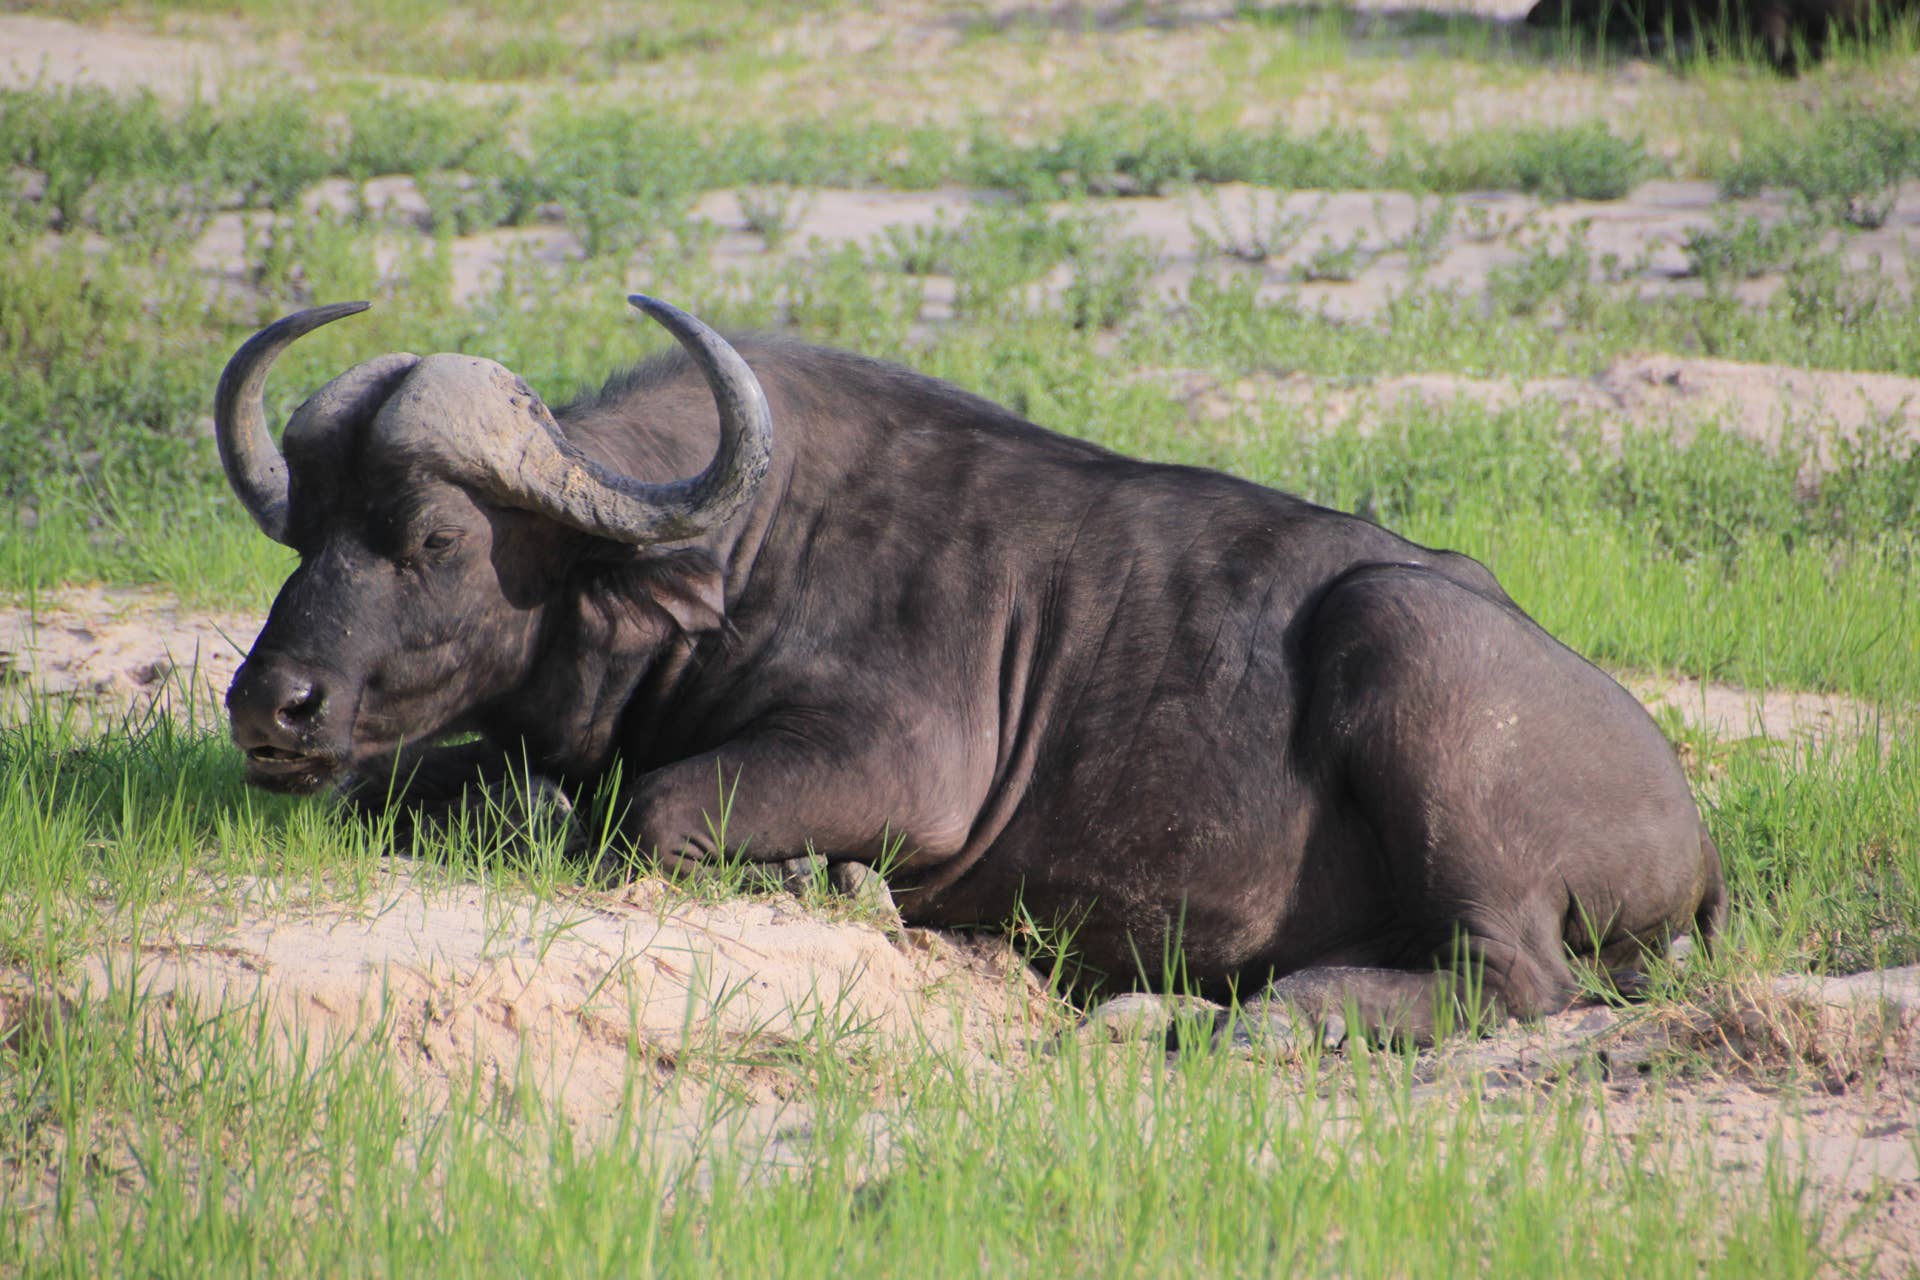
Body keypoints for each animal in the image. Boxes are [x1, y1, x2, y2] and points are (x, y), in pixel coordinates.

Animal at [219, 297, 1723, 1041]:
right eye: (301, 527)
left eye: (430, 538)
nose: (270, 702)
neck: (745, 558)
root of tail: (1694, 832)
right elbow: (427, 782)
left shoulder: (898, 771)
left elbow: (654, 808)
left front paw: (827, 883)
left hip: (1404, 640)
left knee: (1513, 976)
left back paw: (1276, 1016)